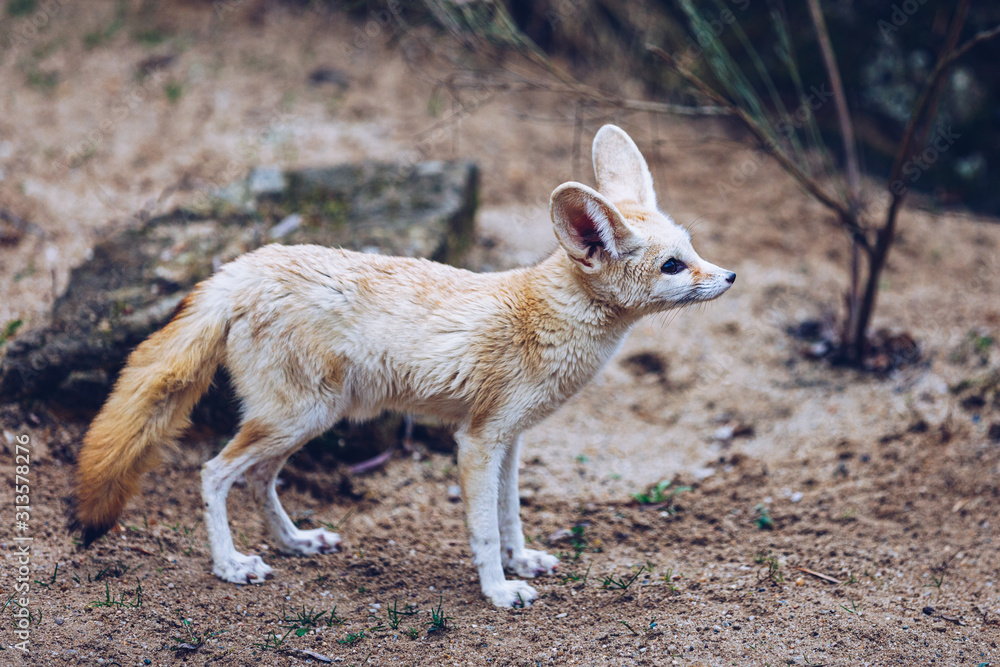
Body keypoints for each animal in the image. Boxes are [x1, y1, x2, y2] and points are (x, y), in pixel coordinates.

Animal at [70, 125, 735, 607]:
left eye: (692, 249)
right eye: (674, 266)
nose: (730, 276)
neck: (543, 315)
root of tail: (240, 268)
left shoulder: (511, 440)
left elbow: (511, 514)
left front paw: (521, 561)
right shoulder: (477, 441)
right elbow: (483, 529)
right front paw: (498, 590)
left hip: (305, 422)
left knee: (258, 479)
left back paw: (295, 542)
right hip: (295, 420)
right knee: (212, 473)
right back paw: (230, 565)